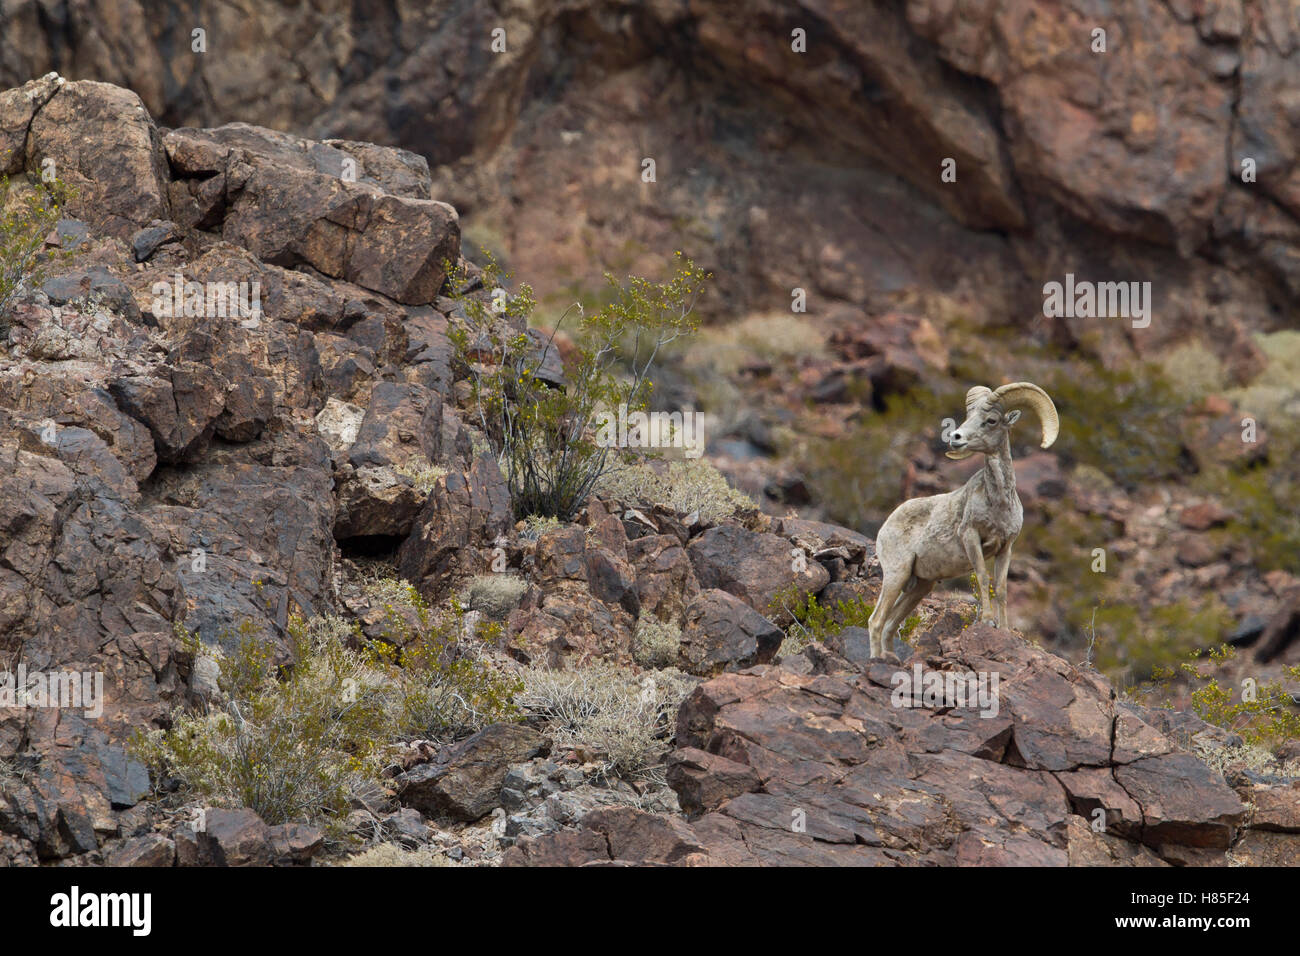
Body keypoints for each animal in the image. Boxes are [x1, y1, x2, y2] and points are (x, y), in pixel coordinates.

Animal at [867, 382, 1059, 660]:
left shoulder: (1006, 548)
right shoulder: (971, 538)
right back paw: (877, 660)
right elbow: (983, 578)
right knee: (876, 621)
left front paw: (1004, 628)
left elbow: (1001, 587)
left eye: (991, 420)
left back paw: (891, 659)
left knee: (890, 624)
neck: (998, 503)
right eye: (969, 417)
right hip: (896, 574)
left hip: (920, 586)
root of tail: (886, 525)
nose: (956, 437)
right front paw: (988, 621)